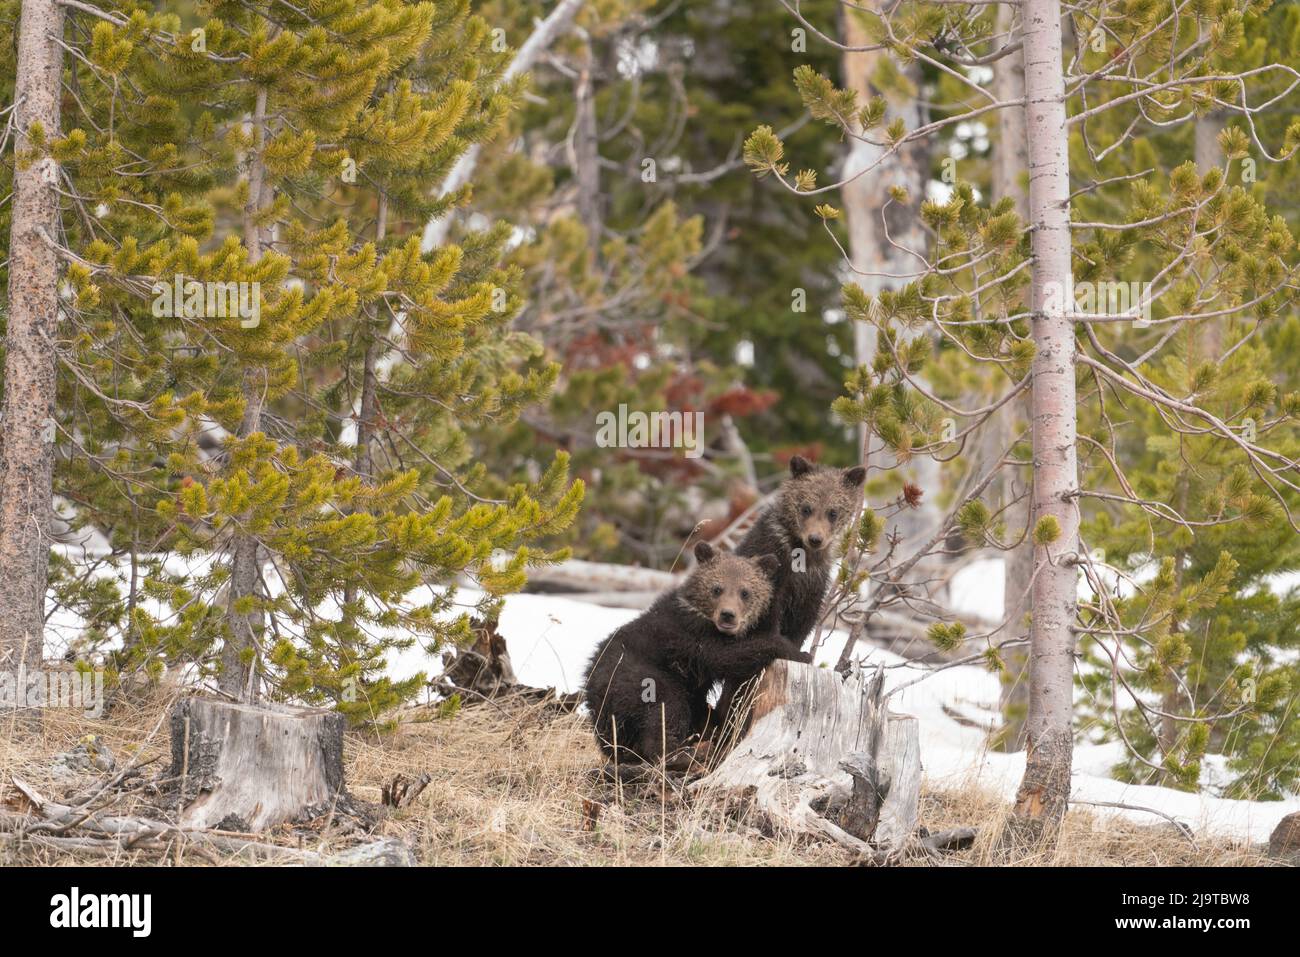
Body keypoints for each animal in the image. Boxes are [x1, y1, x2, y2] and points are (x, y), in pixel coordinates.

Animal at [583, 541, 810, 768]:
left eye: (745, 592)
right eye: (717, 588)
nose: (728, 615)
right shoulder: (691, 638)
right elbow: (727, 656)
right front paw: (801, 653)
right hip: (637, 676)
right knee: (667, 708)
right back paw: (685, 753)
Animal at [707, 455, 866, 731]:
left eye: (833, 511)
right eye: (806, 507)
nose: (815, 538)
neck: (802, 558)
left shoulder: (812, 586)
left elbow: (803, 624)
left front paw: (802, 652)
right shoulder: (774, 571)